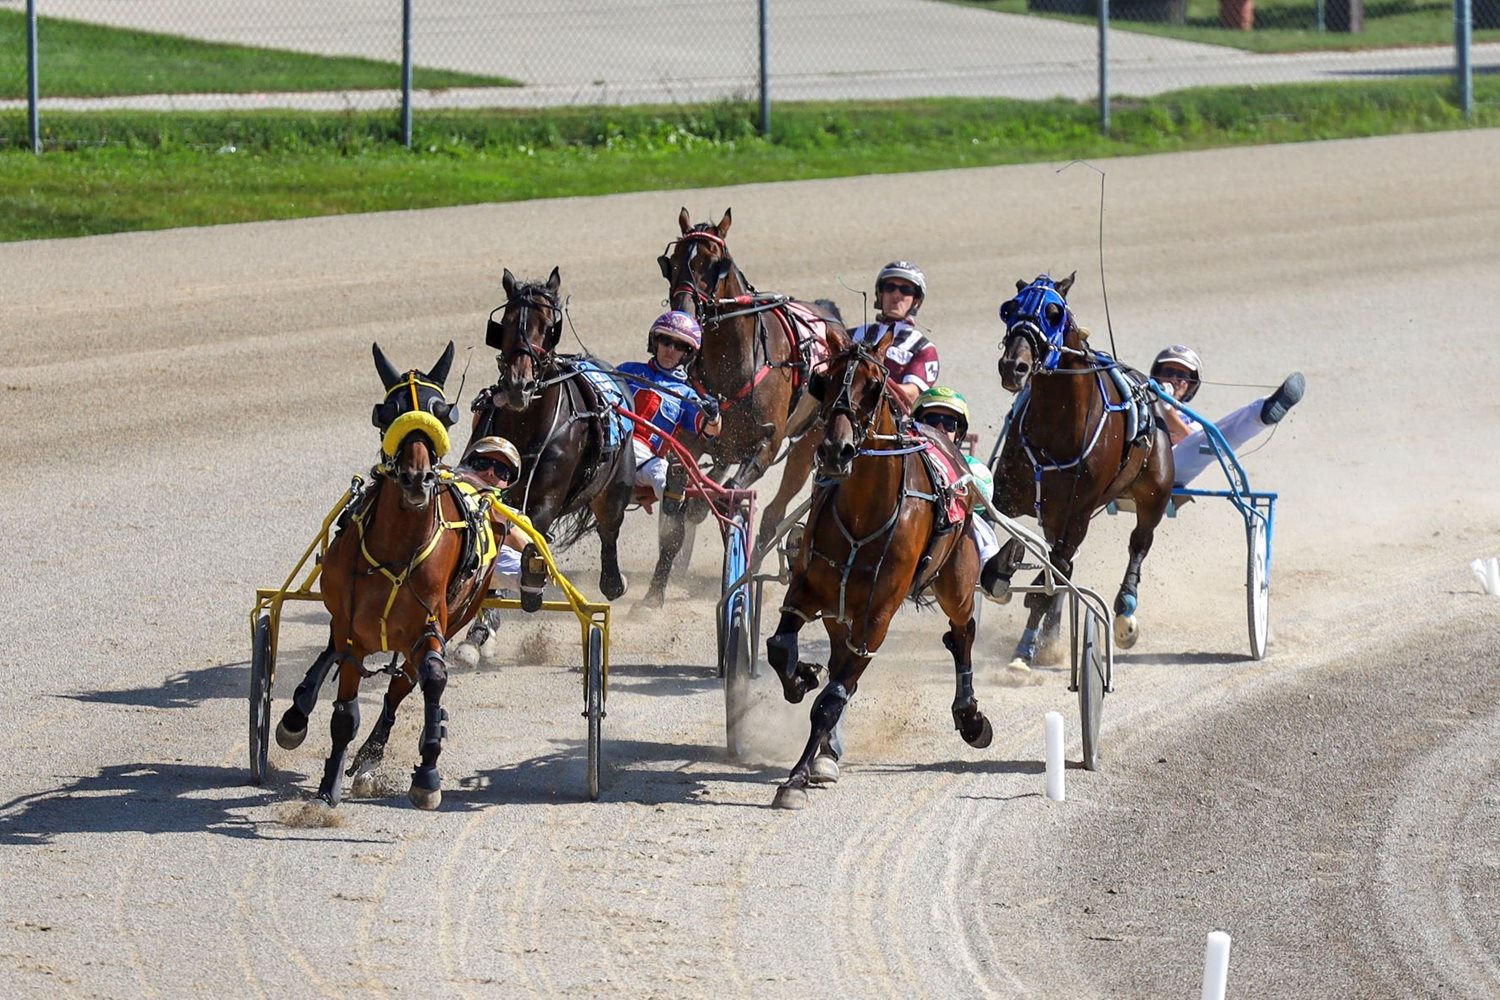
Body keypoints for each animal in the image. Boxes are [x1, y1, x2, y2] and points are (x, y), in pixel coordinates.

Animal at [274, 341, 495, 809]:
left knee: (403, 685)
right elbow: (344, 709)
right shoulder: (353, 627)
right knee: (330, 654)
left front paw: (427, 774)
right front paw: (327, 787)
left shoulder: (430, 626)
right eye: (387, 412)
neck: (398, 549)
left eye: (444, 413)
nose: (416, 477)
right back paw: (297, 716)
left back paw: (372, 754)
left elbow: (432, 677)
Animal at [470, 266, 634, 618]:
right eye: (505, 322)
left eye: (548, 328)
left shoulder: (548, 496)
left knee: (609, 529)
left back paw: (613, 582)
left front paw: (532, 583)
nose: (518, 386)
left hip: (615, 487)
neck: (526, 426)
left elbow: (533, 537)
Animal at [642, 207, 845, 607]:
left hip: (808, 443)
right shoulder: (691, 442)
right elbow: (675, 517)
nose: (685, 313)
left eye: (716, 264)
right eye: (671, 262)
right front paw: (653, 596)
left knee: (772, 513)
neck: (732, 364)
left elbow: (734, 499)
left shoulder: (764, 447)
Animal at [763, 325, 991, 809]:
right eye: (823, 380)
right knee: (838, 653)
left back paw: (969, 715)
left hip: (957, 579)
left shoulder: (876, 616)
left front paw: (795, 778)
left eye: (874, 386)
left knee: (962, 633)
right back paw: (826, 747)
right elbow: (779, 648)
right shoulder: (808, 589)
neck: (864, 512)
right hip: (839, 608)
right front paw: (800, 677)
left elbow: (831, 700)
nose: (836, 449)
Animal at [991, 273, 1174, 668]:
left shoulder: (1077, 514)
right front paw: (1002, 566)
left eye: (1054, 312)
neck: (1058, 427)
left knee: (1139, 543)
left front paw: (1026, 651)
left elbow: (1049, 583)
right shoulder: (1007, 494)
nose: (1013, 367)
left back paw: (1123, 616)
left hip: (1153, 495)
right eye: (1009, 309)